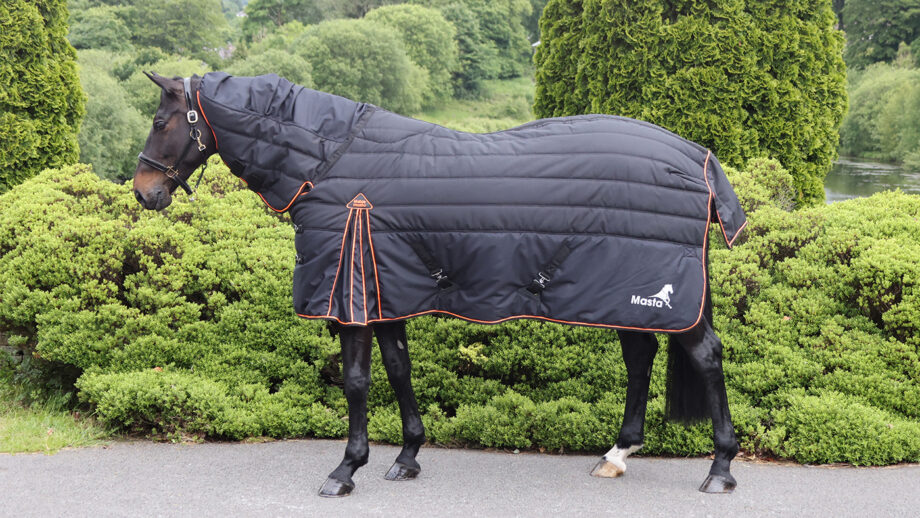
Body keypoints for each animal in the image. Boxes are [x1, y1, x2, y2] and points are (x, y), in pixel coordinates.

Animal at [132, 72, 743, 497]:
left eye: (162, 122)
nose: (143, 192)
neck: (326, 160)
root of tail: (699, 159)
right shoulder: (386, 291)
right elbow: (399, 368)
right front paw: (406, 457)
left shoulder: (352, 296)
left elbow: (357, 382)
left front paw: (346, 469)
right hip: (624, 295)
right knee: (640, 358)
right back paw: (617, 455)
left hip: (655, 295)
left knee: (706, 357)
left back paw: (719, 469)